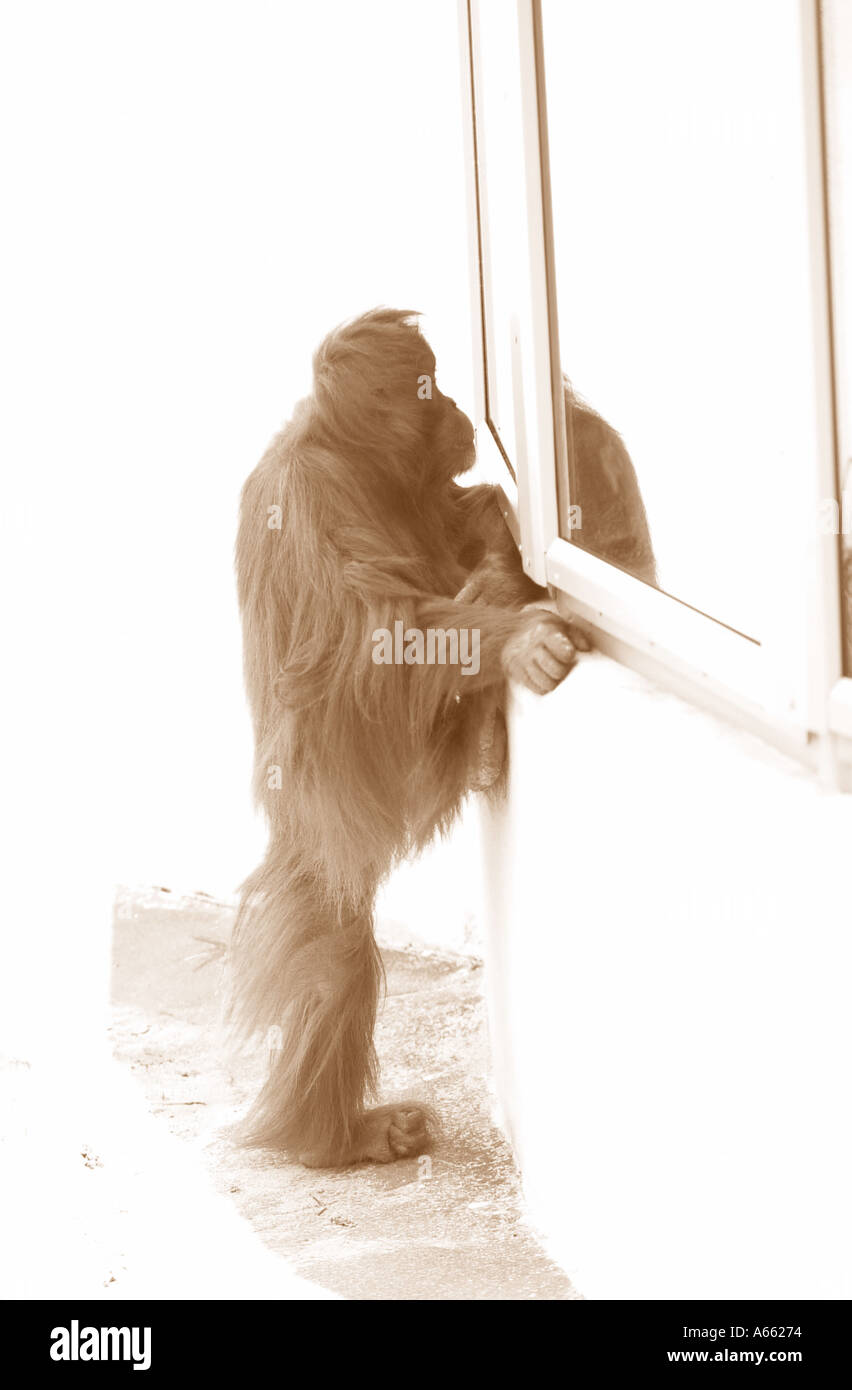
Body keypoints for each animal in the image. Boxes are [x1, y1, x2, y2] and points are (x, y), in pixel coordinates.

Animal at [230, 308, 655, 1168]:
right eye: (427, 388)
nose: (459, 403)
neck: (343, 449)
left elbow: (466, 514)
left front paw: (501, 557)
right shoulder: (312, 500)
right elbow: (369, 644)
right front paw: (519, 636)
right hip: (333, 805)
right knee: (336, 943)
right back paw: (333, 1139)